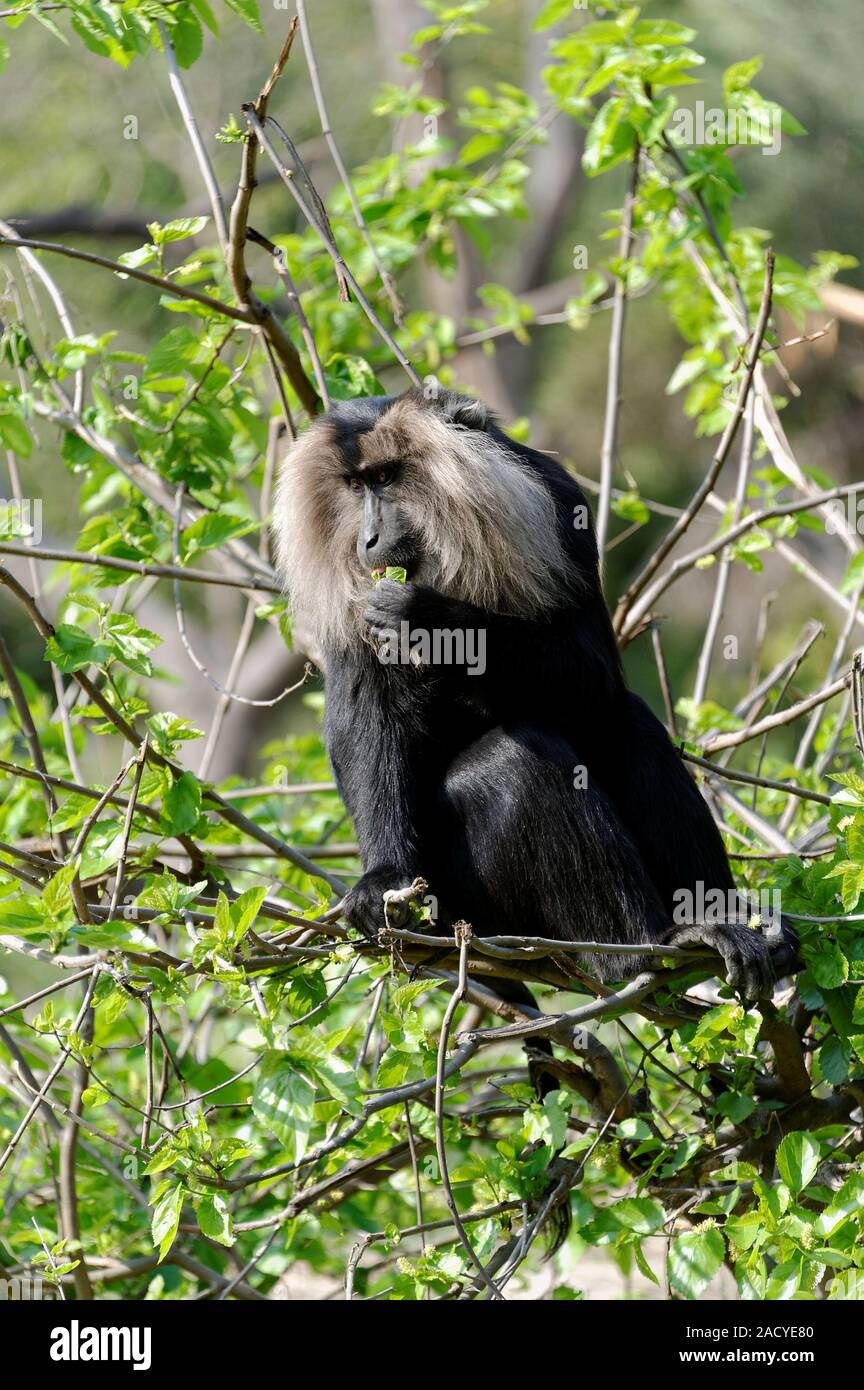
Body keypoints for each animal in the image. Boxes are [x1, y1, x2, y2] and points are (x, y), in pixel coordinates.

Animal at [273, 387, 797, 1012]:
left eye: (385, 477)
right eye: (355, 487)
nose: (368, 539)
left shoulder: (561, 504)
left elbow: (594, 671)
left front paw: (434, 620)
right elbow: (366, 711)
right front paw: (382, 878)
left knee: (625, 722)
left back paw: (716, 922)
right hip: (472, 908)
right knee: (512, 762)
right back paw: (637, 950)